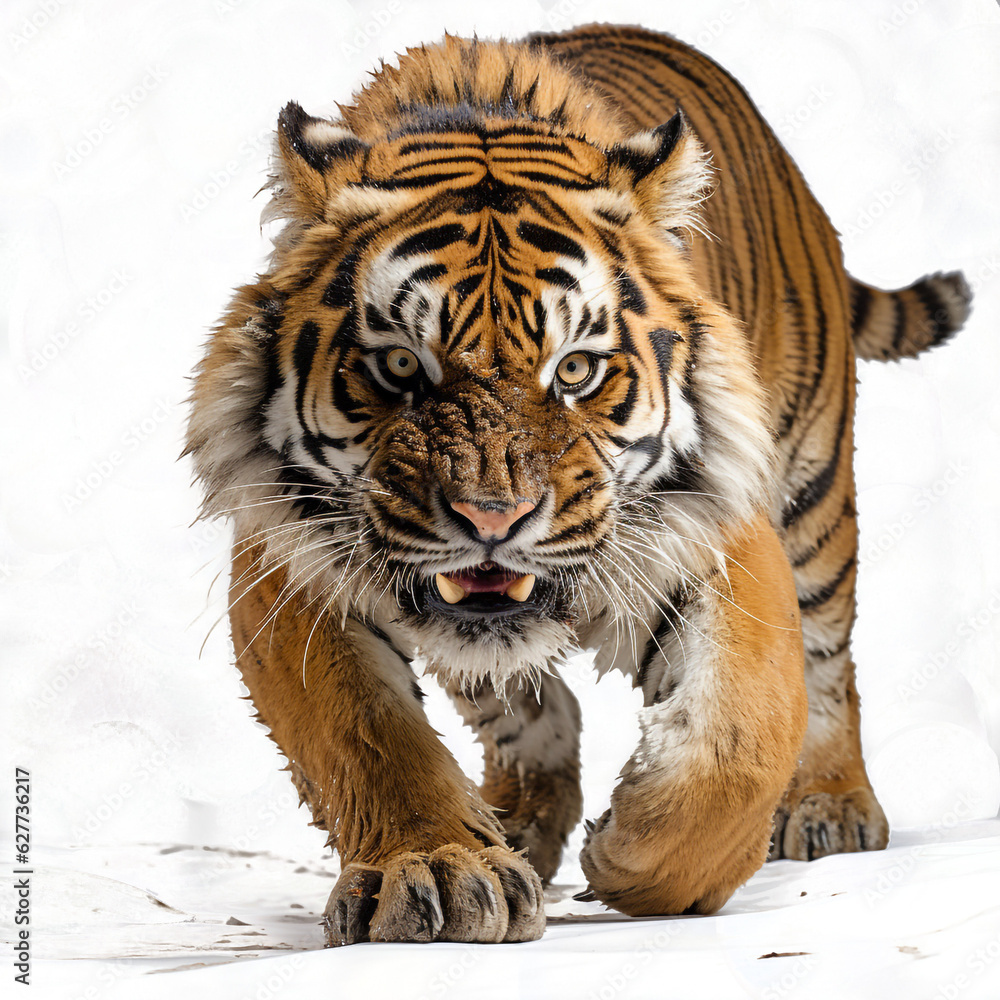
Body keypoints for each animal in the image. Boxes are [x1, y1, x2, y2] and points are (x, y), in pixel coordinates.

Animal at [185, 24, 971, 944]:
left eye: (576, 370)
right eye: (400, 366)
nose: (493, 519)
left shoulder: (726, 536)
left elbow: (737, 740)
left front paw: (635, 857)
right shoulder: (285, 571)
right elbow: (366, 737)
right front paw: (441, 868)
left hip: (813, 494)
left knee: (827, 656)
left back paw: (831, 806)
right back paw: (516, 823)